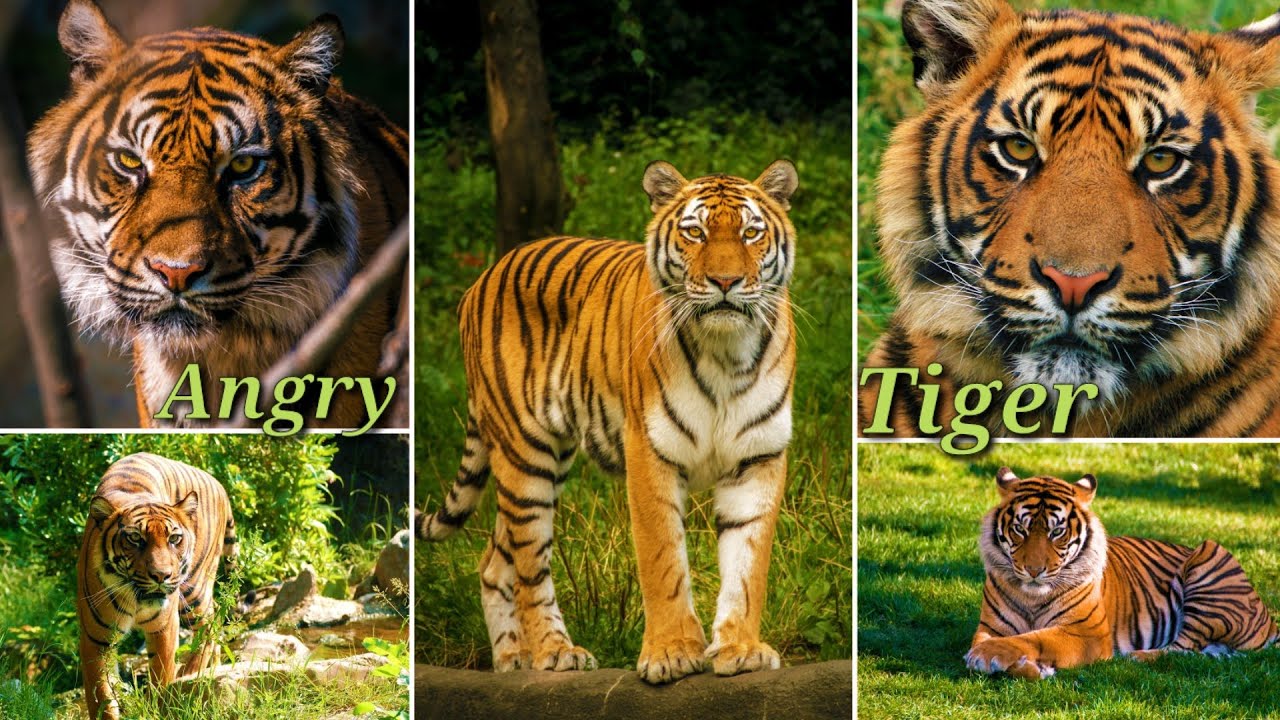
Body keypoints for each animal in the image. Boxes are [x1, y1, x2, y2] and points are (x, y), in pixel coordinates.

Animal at [77, 452, 237, 720]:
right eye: (135, 538)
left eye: (174, 538)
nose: (161, 575)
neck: (135, 598)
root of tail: (219, 484)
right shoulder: (96, 639)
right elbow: (101, 695)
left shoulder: (164, 627)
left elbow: (161, 677)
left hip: (193, 589)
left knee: (209, 623)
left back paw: (191, 674)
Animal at [419, 159, 799, 684]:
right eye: (695, 233)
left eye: (751, 233)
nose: (726, 282)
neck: (726, 352)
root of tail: (482, 277)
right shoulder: (650, 452)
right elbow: (662, 560)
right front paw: (671, 653)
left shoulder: (758, 458)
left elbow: (748, 564)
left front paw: (740, 649)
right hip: (525, 454)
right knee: (529, 565)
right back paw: (554, 652)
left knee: (496, 561)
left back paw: (512, 661)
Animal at [968, 467, 1278, 680]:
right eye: (1020, 529)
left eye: (1057, 532)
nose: (1034, 571)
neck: (1033, 596)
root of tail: (1268, 619)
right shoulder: (991, 626)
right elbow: (1005, 640)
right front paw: (1029, 667)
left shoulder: (1088, 634)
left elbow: (1034, 638)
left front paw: (986, 656)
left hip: (1210, 554)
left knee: (1182, 648)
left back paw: (1136, 657)